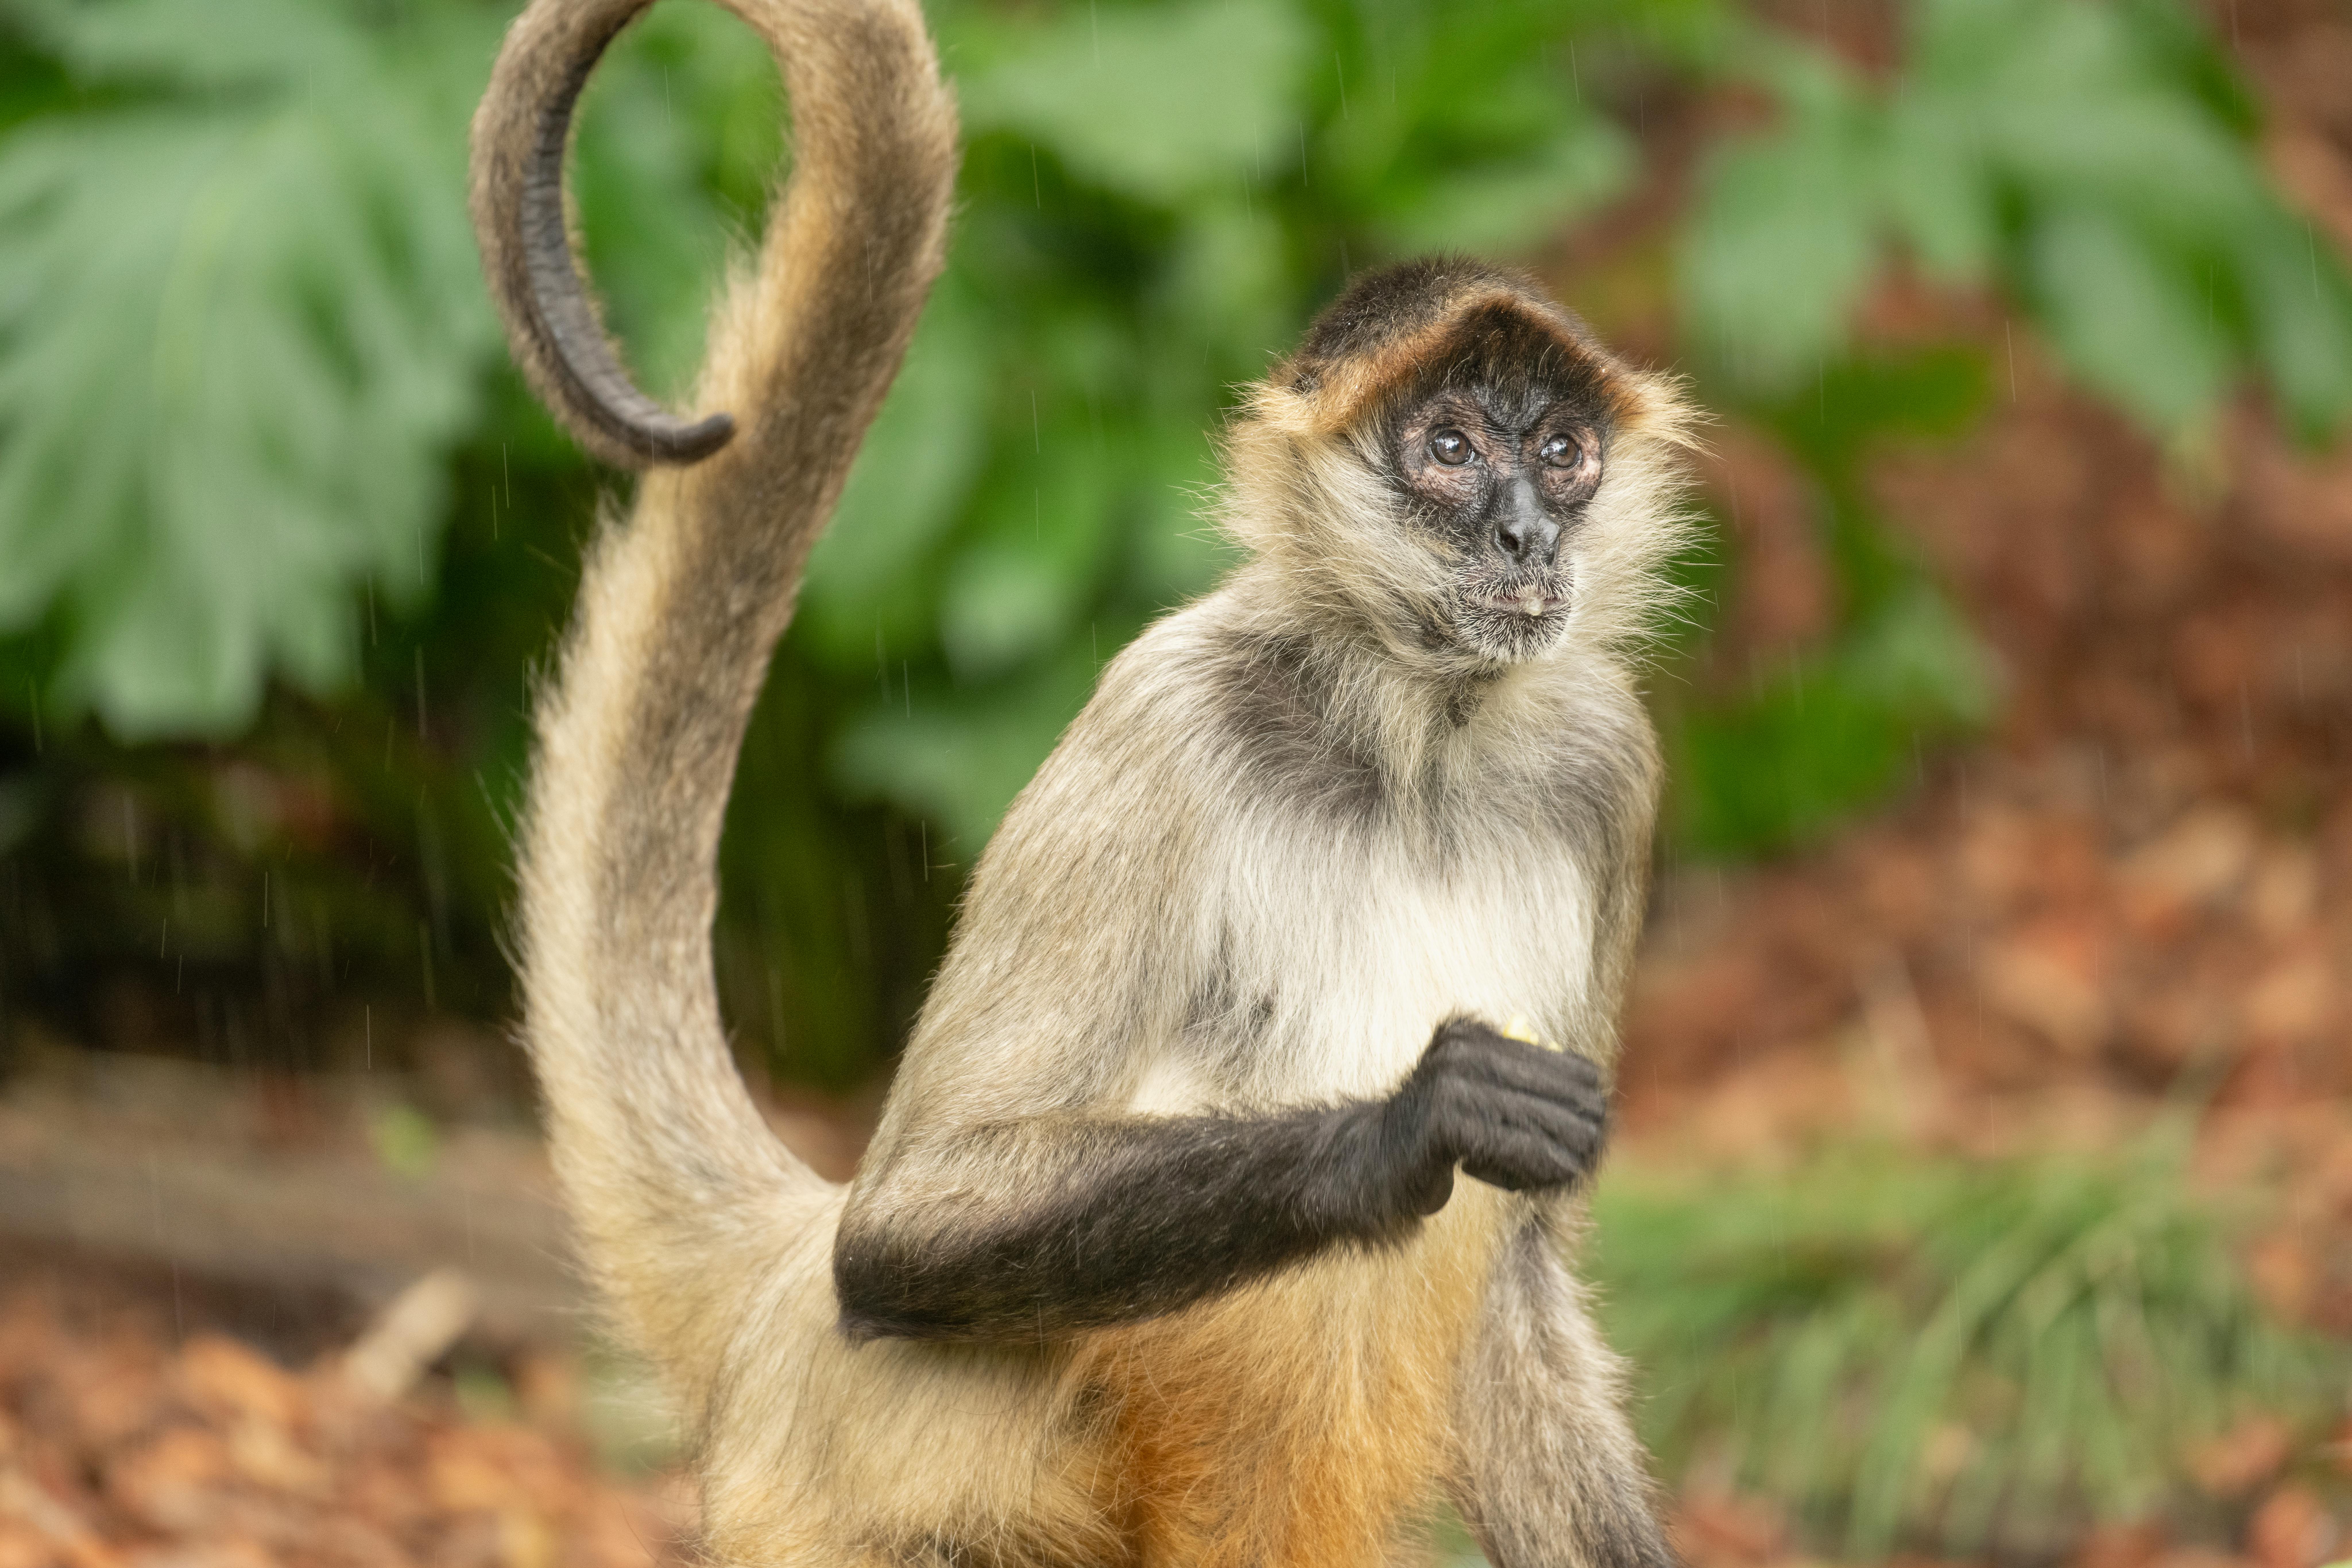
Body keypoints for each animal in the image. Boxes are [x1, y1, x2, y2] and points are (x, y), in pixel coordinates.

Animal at [471, 0, 1698, 1563]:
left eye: (1560, 449)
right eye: (1447, 448)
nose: (1527, 533)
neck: (1418, 747)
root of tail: (781, 1302)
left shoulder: (1607, 756)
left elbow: (1526, 1268)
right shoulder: (1166, 707)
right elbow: (906, 1228)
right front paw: (1419, 1119)